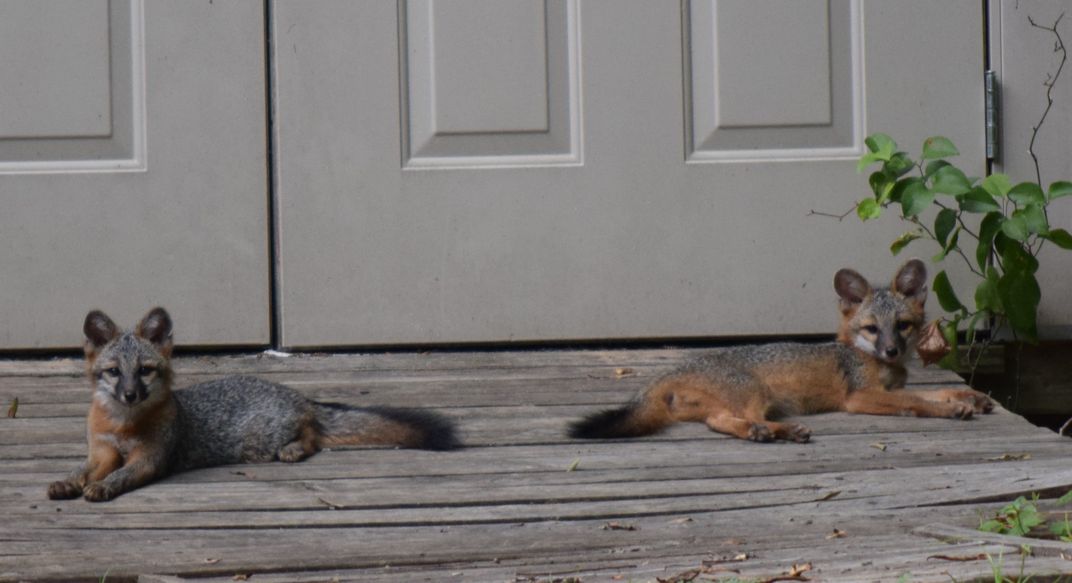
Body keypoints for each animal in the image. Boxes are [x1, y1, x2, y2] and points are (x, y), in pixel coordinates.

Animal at [48, 307, 459, 502]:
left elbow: (121, 475)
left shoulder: (149, 458)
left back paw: (295, 448)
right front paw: (68, 482)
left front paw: (103, 487)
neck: (122, 424)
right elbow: (84, 469)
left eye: (145, 371)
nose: (131, 394)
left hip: (261, 438)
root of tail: (294, 393)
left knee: (312, 432)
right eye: (114, 372)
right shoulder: (101, 452)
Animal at [568, 259, 994, 443]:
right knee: (725, 421)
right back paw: (780, 431)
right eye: (872, 329)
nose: (890, 350)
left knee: (717, 421)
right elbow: (919, 401)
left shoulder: (891, 388)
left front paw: (970, 396)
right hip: (756, 392)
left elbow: (935, 390)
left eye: (902, 326)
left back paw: (767, 431)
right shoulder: (860, 397)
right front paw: (953, 409)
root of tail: (670, 371)